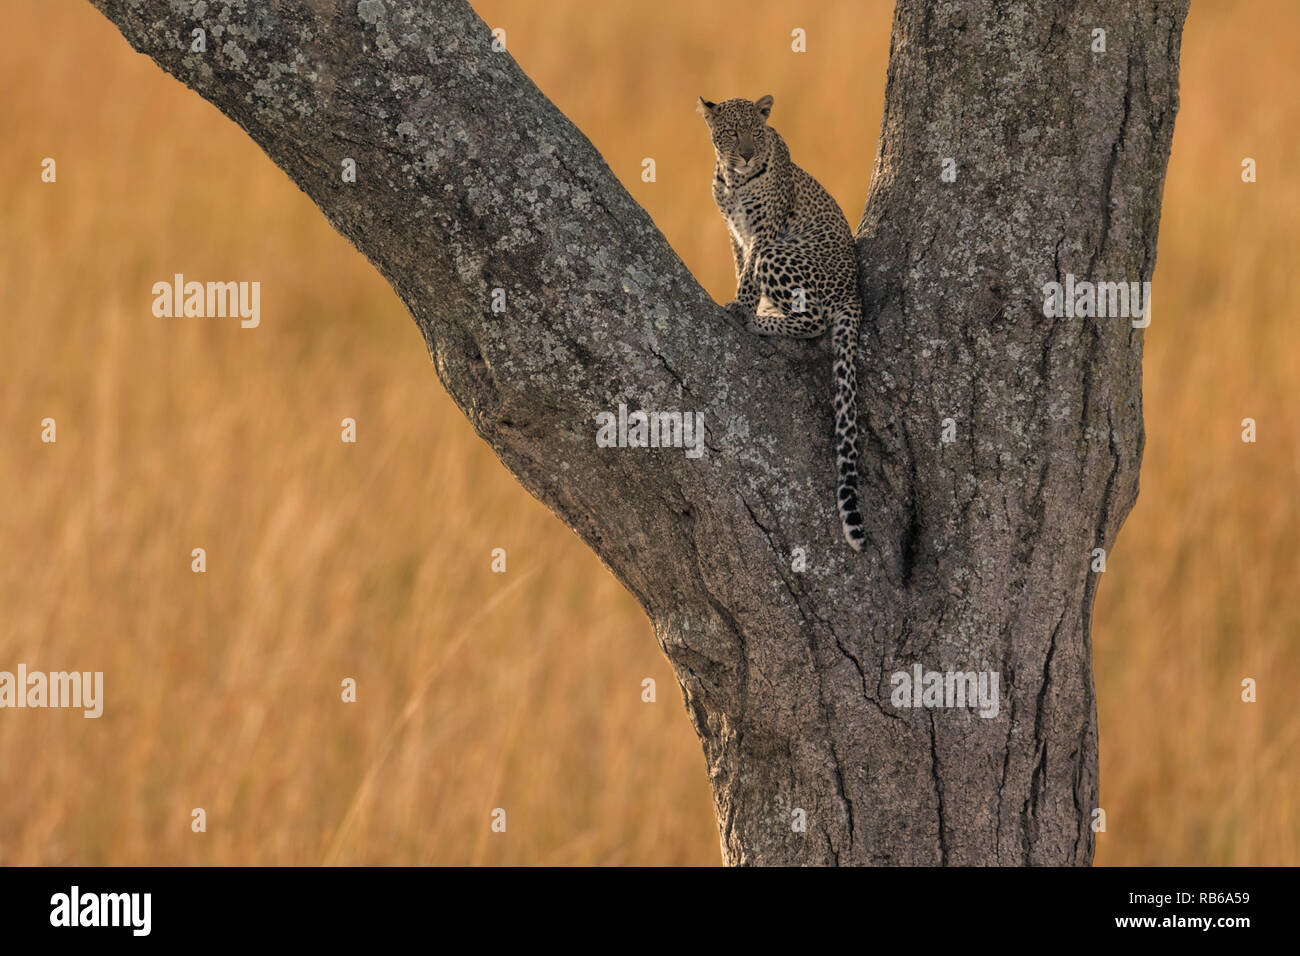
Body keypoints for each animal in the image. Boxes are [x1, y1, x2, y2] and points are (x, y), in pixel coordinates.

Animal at [697, 93, 865, 552]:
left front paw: (742, 308)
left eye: (756, 131)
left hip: (785, 257)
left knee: (814, 322)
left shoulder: (765, 232)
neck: (734, 181)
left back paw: (761, 322)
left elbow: (749, 273)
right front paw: (743, 301)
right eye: (730, 132)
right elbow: (740, 265)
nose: (746, 154)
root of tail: (854, 292)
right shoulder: (735, 231)